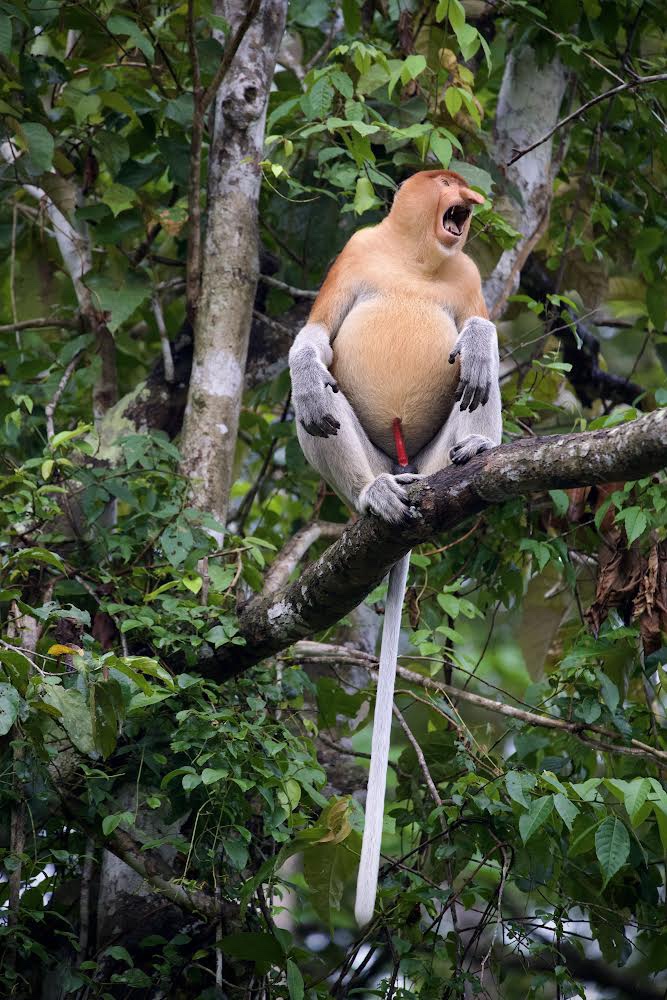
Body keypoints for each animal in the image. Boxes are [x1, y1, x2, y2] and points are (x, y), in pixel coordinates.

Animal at [288, 169, 502, 927]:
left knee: (478, 381)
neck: (416, 261)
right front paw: (304, 368)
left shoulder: (466, 274)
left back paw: (476, 449)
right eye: (447, 182)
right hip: (375, 456)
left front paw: (476, 339)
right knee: (321, 409)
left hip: (434, 457)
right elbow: (317, 333)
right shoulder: (356, 253)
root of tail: (411, 468)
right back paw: (374, 496)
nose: (473, 198)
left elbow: (477, 320)